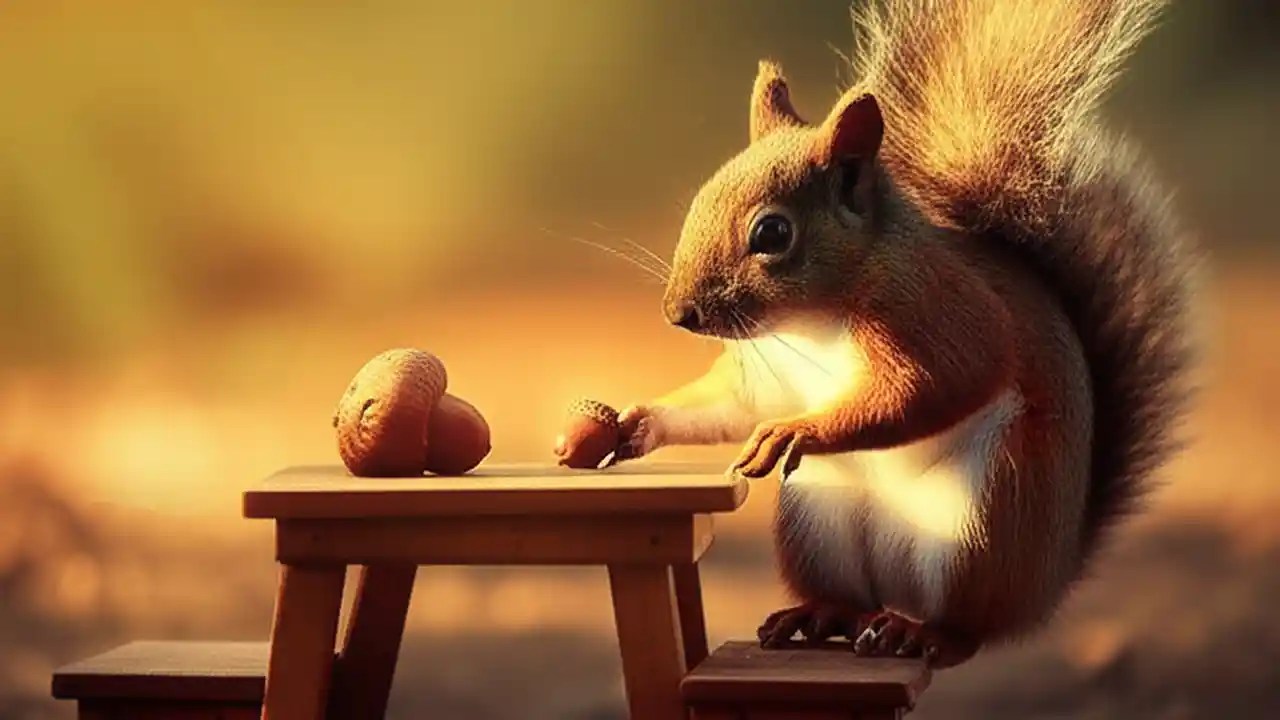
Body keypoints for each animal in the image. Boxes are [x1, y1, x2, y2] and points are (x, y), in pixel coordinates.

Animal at [611, 0, 1196, 668]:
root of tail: (1045, 587)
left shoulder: (935, 309)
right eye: (700, 202)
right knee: (850, 601)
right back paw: (820, 614)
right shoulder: (767, 372)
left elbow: (938, 383)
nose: (677, 313)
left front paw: (798, 429)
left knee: (967, 629)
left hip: (985, 524)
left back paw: (922, 634)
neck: (808, 323)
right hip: (819, 525)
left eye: (772, 234)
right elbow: (732, 406)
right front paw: (636, 423)